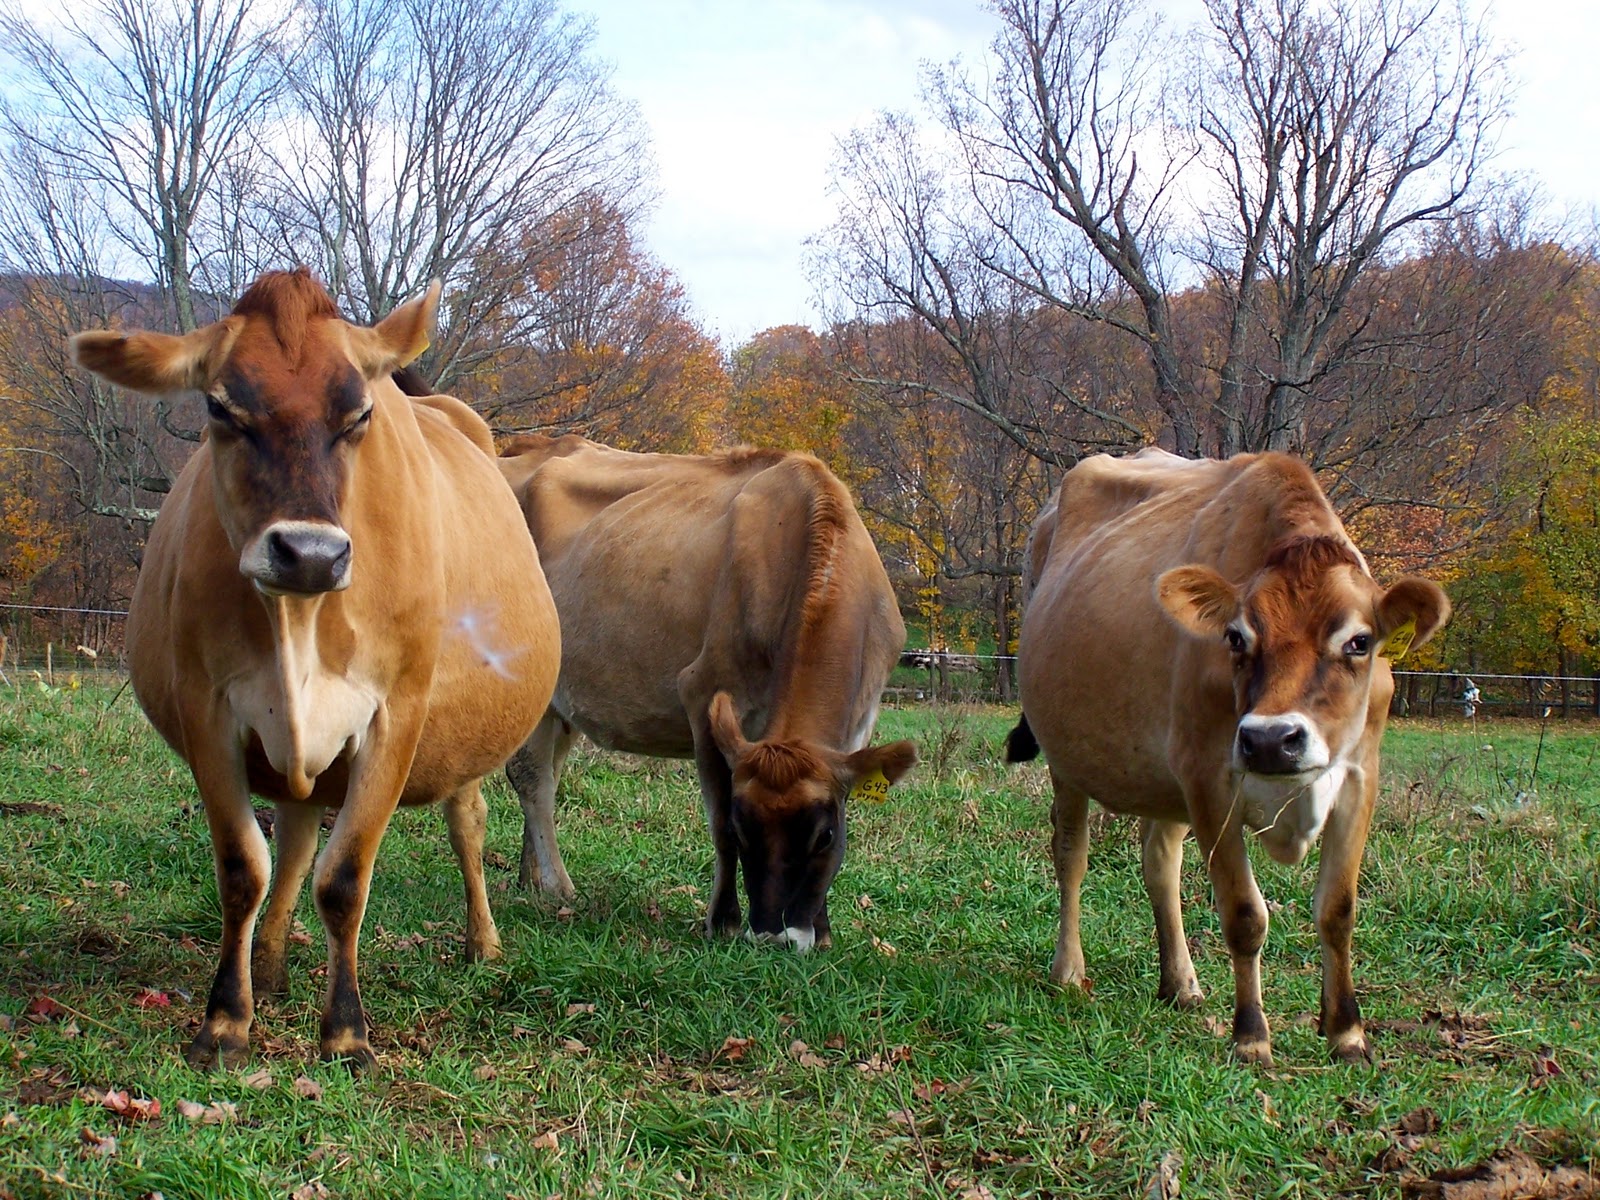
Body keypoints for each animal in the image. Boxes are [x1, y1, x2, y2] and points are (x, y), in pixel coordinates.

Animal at [70, 269, 560, 1069]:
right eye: (220, 407)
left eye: (358, 415)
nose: (310, 554)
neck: (296, 622)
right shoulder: (208, 710)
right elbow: (245, 869)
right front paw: (225, 1022)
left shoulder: (396, 715)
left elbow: (345, 879)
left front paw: (348, 1034)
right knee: (295, 841)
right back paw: (269, 967)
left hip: (462, 733)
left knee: (466, 821)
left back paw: (482, 943)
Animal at [497, 435, 917, 951]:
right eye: (743, 826)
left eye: (823, 836)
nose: (773, 937)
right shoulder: (704, 694)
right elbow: (716, 824)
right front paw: (724, 920)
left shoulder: (862, 718)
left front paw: (821, 930)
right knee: (532, 778)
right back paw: (558, 886)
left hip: (560, 700)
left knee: (547, 772)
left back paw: (531, 879)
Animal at [1006, 448, 1449, 1065]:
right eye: (1236, 637)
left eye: (1359, 641)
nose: (1269, 739)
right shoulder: (1210, 778)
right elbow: (1244, 915)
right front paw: (1251, 1038)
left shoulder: (1360, 777)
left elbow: (1338, 909)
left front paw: (1346, 1032)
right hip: (1067, 754)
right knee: (1071, 852)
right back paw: (1069, 971)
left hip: (1164, 779)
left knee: (1159, 863)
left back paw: (1181, 982)